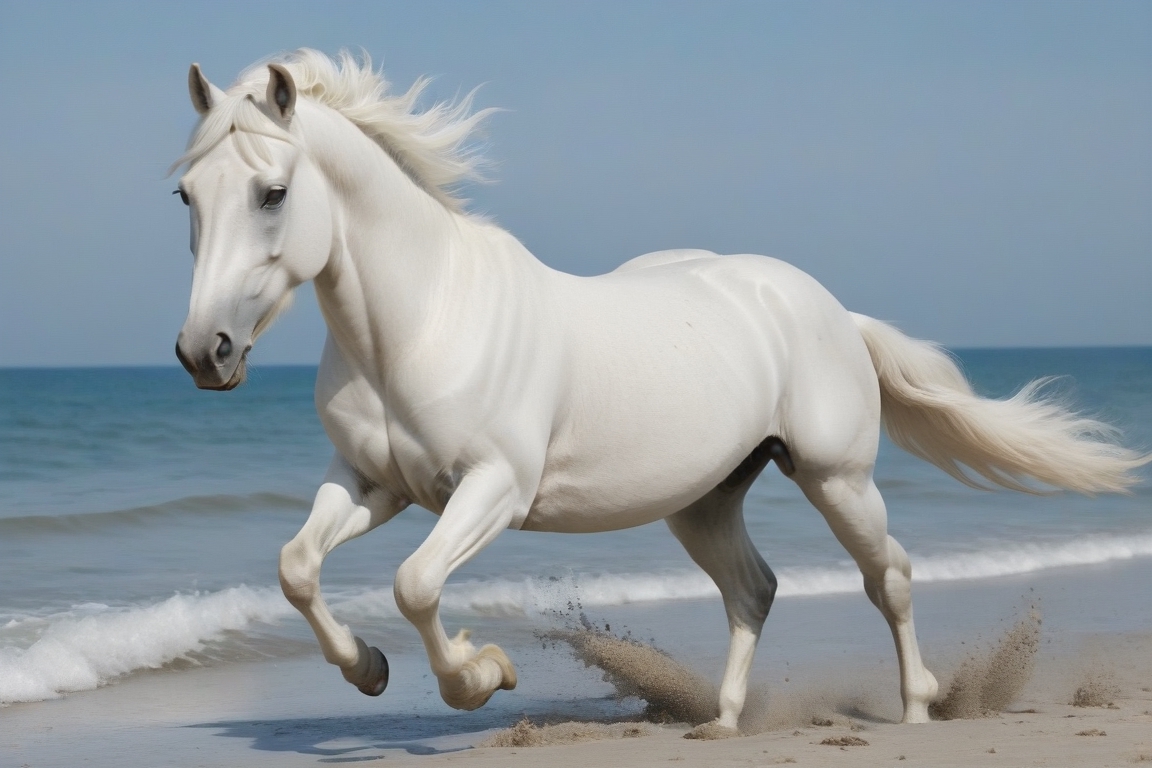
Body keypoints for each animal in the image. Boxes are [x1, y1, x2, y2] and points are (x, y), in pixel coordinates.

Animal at [171, 50, 1148, 737]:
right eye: (185, 195)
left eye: (272, 192)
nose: (202, 353)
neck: (420, 324)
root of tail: (831, 308)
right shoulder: (376, 484)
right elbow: (298, 567)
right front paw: (369, 669)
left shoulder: (491, 490)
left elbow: (414, 584)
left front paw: (484, 675)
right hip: (704, 501)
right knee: (754, 590)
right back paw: (721, 721)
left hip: (836, 478)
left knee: (891, 577)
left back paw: (916, 708)